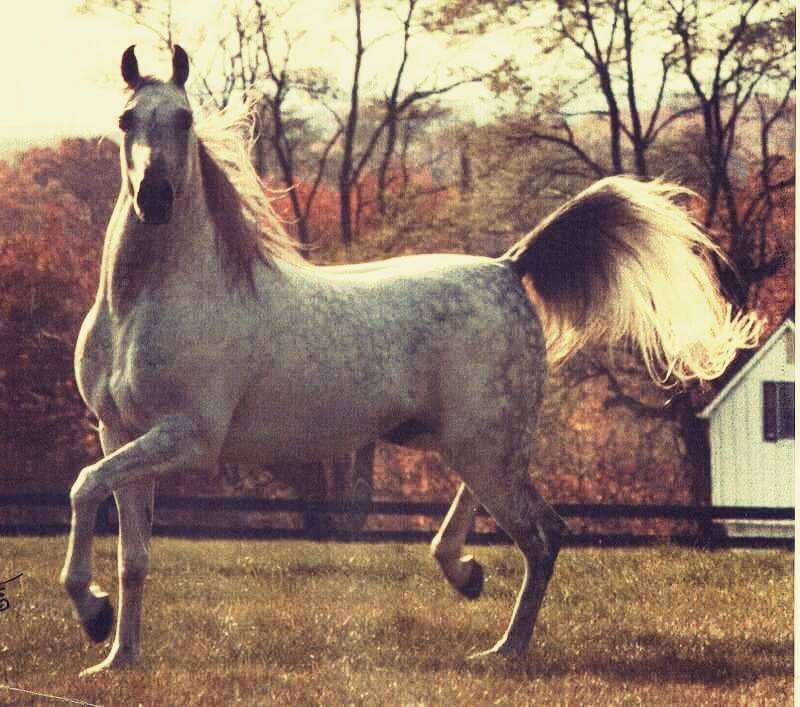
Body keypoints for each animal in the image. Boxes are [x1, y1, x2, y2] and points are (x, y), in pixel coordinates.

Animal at [60, 44, 761, 676]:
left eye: (183, 118)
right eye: (126, 119)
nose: (155, 196)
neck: (151, 302)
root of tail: (508, 268)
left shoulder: (187, 438)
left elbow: (83, 484)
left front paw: (91, 613)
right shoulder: (120, 431)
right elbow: (133, 554)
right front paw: (115, 656)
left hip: (483, 443)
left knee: (544, 533)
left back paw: (504, 649)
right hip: (461, 439)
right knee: (493, 507)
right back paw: (465, 573)